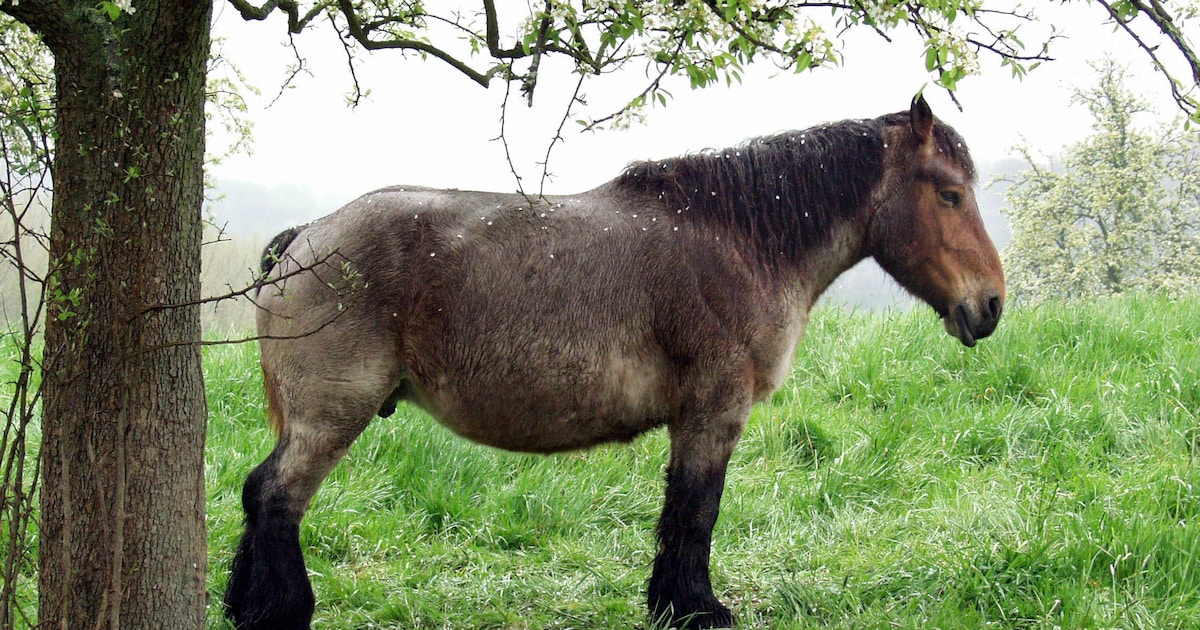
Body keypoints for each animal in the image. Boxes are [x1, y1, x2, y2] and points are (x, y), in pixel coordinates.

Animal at [223, 95, 1004, 629]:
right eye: (949, 193)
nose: (991, 305)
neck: (741, 241)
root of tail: (305, 238)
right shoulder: (713, 413)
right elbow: (695, 511)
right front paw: (695, 609)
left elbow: (684, 513)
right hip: (333, 416)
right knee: (277, 497)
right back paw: (285, 610)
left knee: (259, 492)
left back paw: (244, 605)